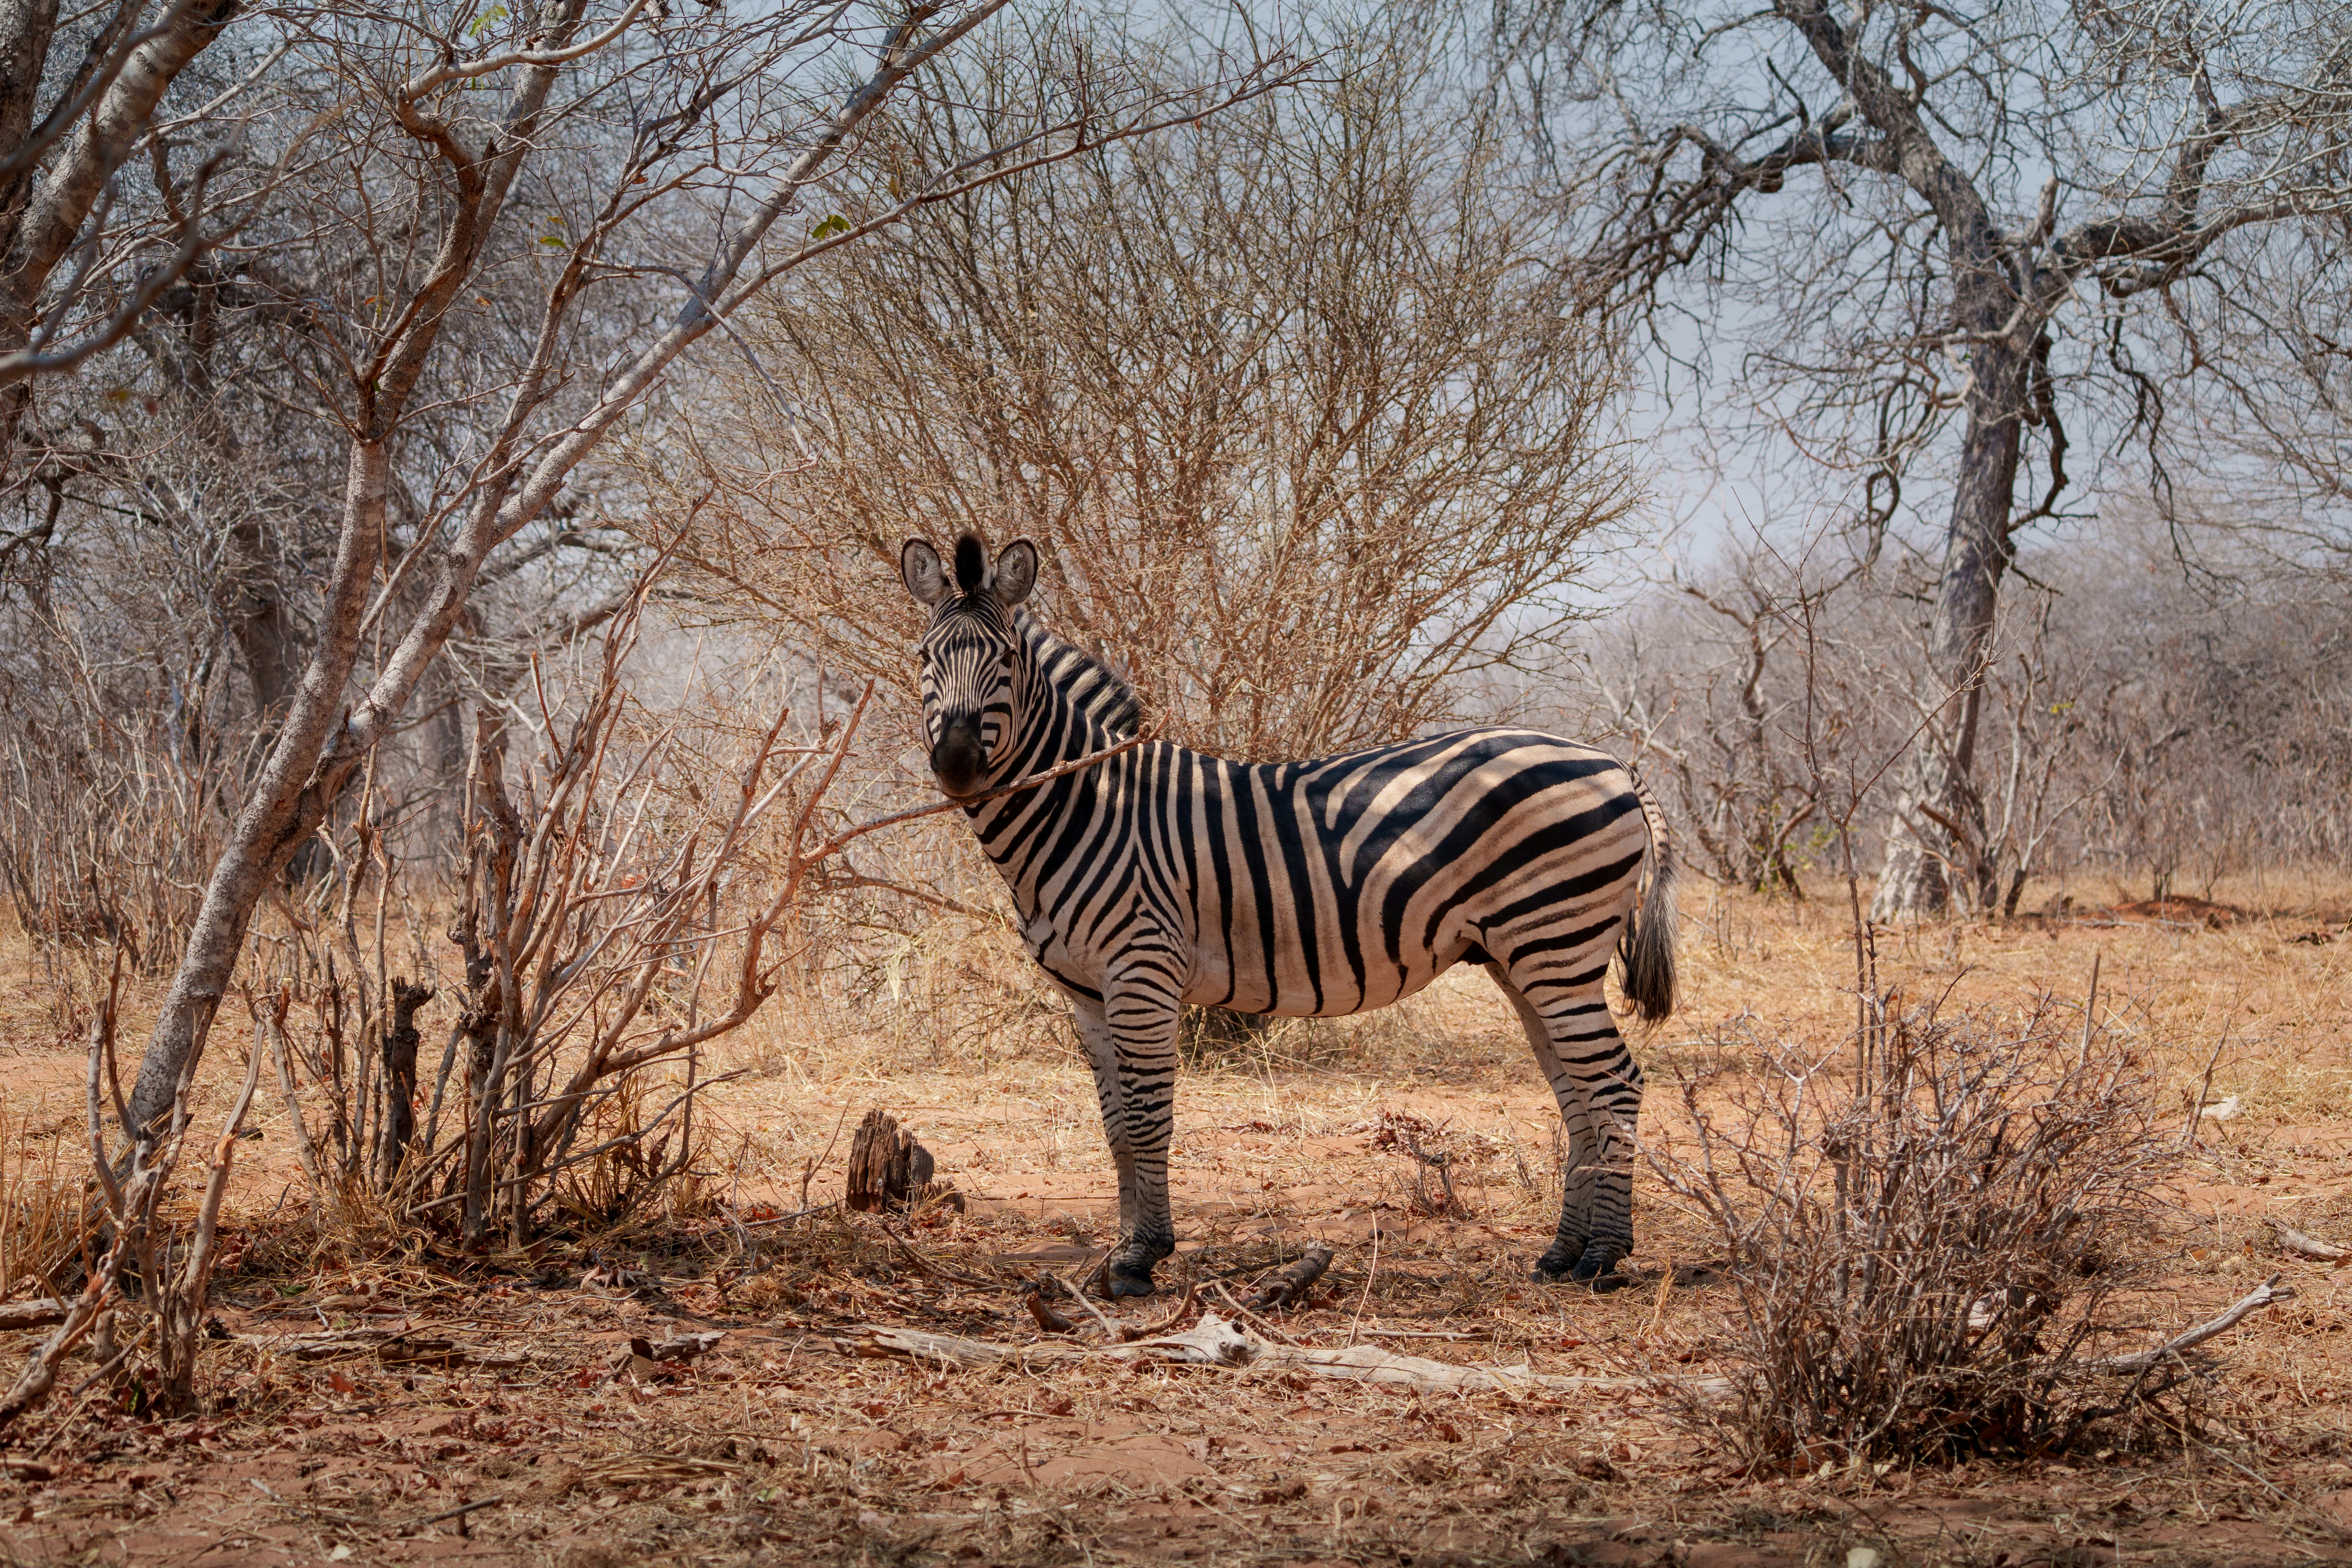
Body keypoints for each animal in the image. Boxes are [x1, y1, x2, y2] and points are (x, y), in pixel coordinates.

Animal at [900, 533, 1676, 1297]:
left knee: (1616, 1084)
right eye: (924, 659)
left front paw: (1142, 1256)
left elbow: (1149, 1119)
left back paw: (1604, 1256)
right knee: (1577, 1094)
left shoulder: (1143, 969)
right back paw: (1561, 1253)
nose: (958, 766)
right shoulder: (1085, 990)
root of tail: (1611, 761)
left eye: (1006, 660)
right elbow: (1116, 1125)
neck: (1086, 809)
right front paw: (1120, 1251)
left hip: (1557, 945)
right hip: (1523, 959)